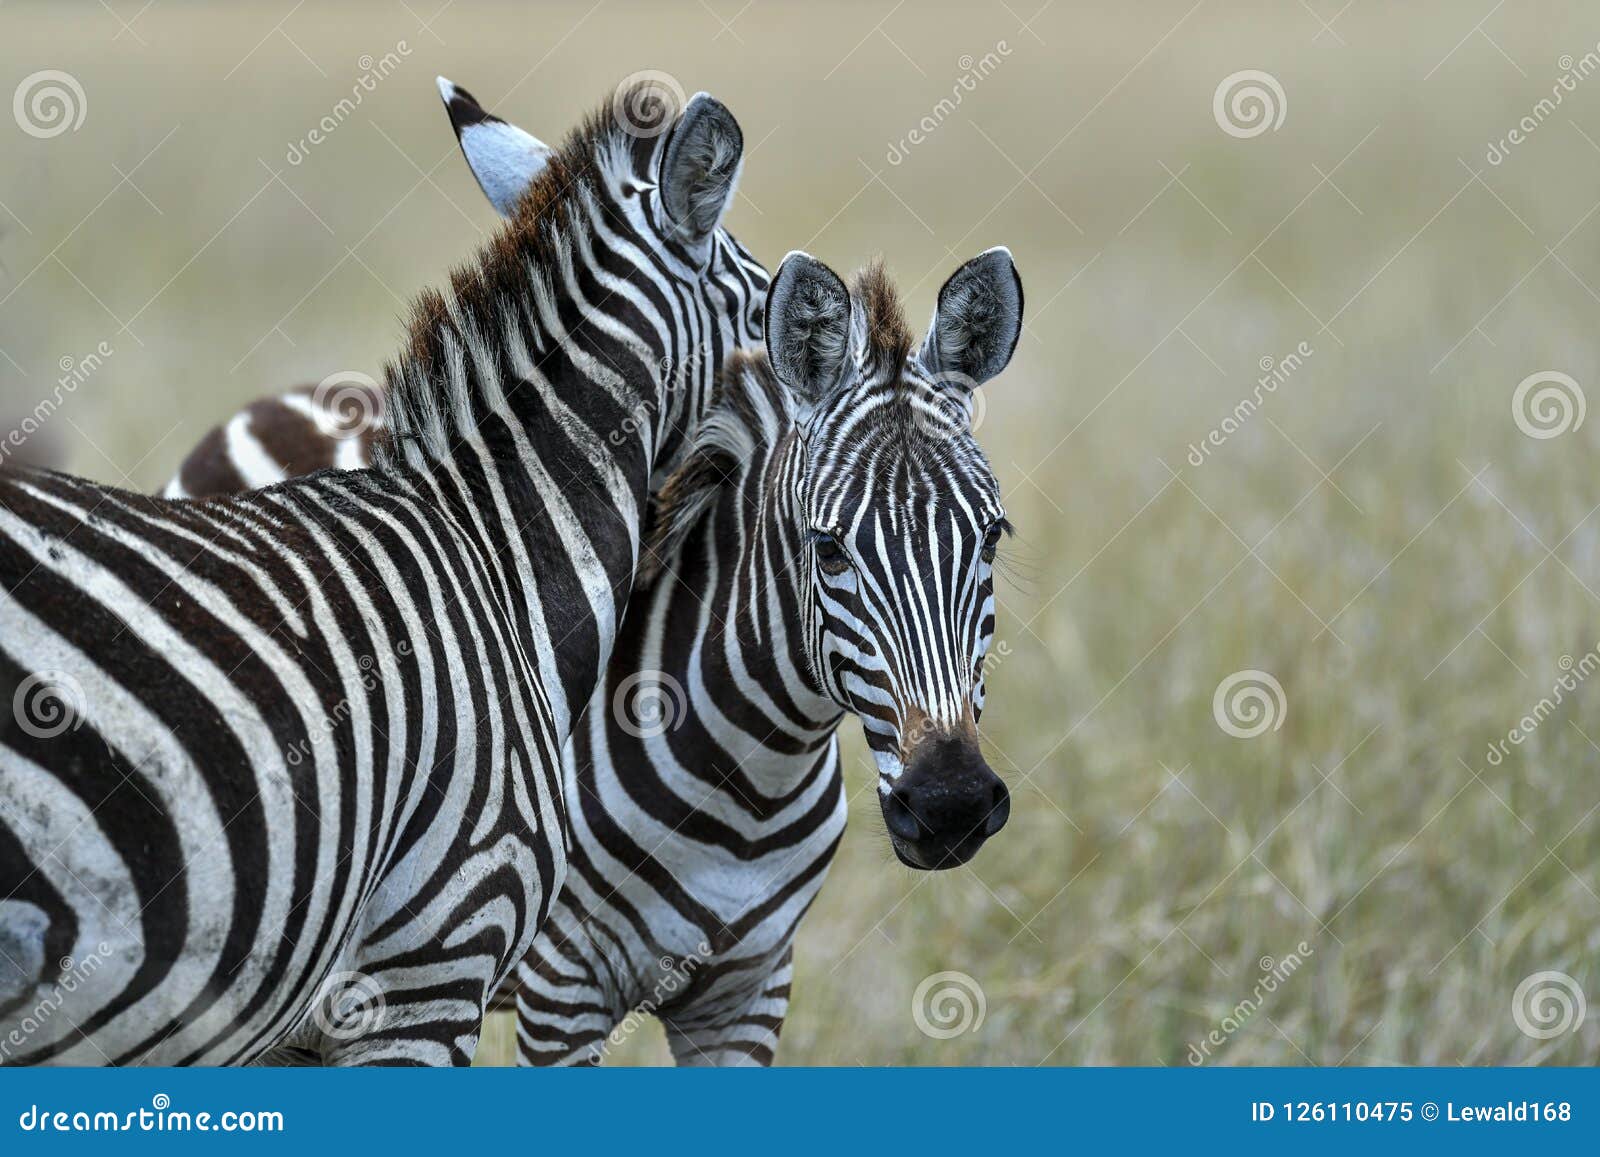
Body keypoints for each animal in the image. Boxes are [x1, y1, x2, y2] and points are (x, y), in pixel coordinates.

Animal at [158, 247, 1024, 1065]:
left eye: (993, 536)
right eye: (829, 548)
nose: (949, 804)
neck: (749, 780)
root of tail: (285, 399)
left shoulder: (750, 989)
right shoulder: (561, 988)